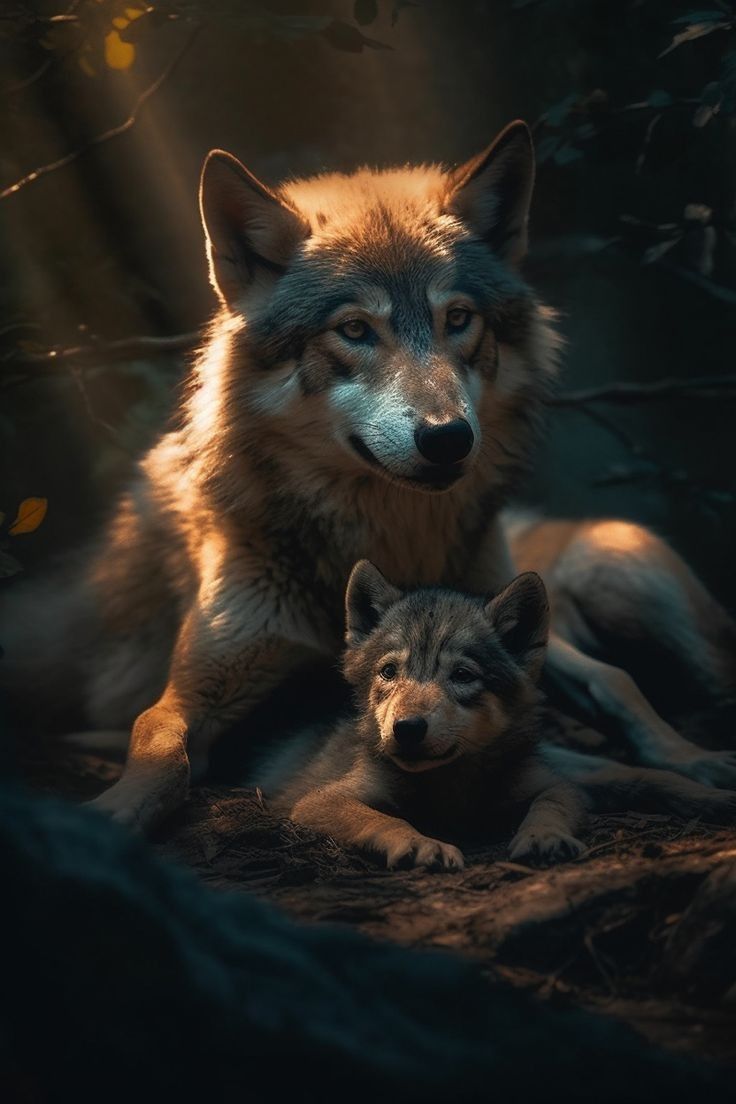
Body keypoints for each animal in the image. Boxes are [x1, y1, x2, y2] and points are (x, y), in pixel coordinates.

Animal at [2, 121, 735, 831]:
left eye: (457, 318)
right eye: (354, 329)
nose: (448, 437)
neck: (380, 545)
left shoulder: (506, 641)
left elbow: (611, 683)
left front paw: (687, 762)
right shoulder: (194, 691)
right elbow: (158, 749)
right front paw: (112, 813)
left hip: (619, 561)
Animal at [257, 561, 736, 869]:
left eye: (463, 675)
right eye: (389, 672)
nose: (406, 729)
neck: (450, 785)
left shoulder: (553, 786)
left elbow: (551, 804)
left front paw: (544, 837)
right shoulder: (318, 799)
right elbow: (383, 818)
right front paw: (420, 844)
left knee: (633, 773)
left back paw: (710, 789)